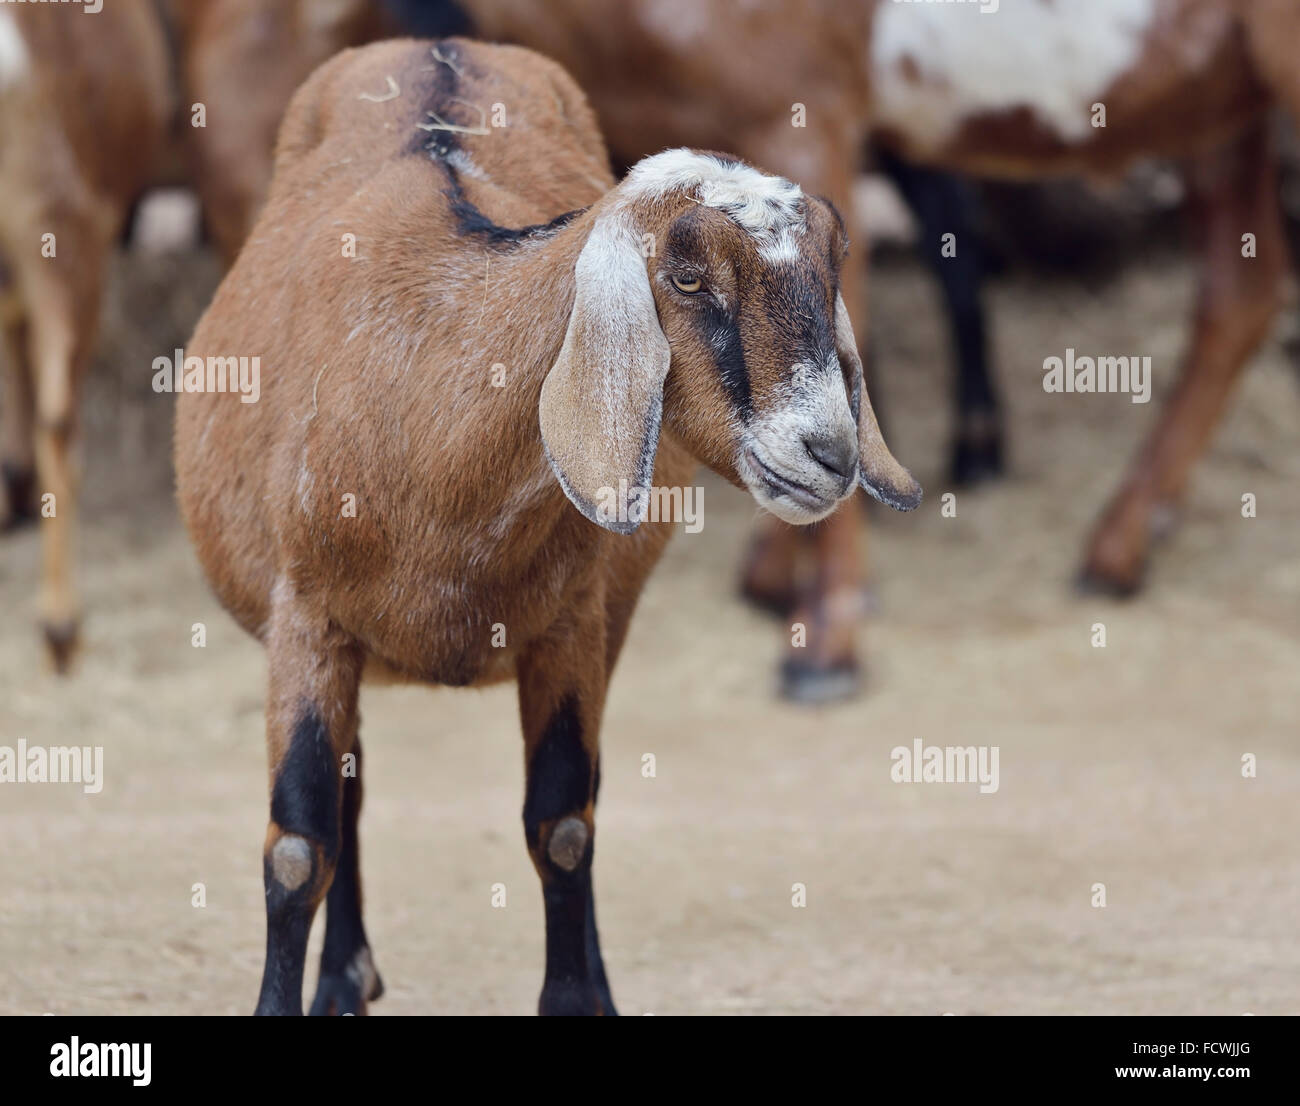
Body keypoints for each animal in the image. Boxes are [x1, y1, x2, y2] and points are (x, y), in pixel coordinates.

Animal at [173, 37, 920, 1015]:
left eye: (829, 278)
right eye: (687, 276)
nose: (830, 451)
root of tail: (438, 44)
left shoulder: (569, 623)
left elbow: (564, 822)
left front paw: (577, 995)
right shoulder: (306, 619)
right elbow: (301, 848)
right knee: (350, 795)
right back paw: (344, 976)